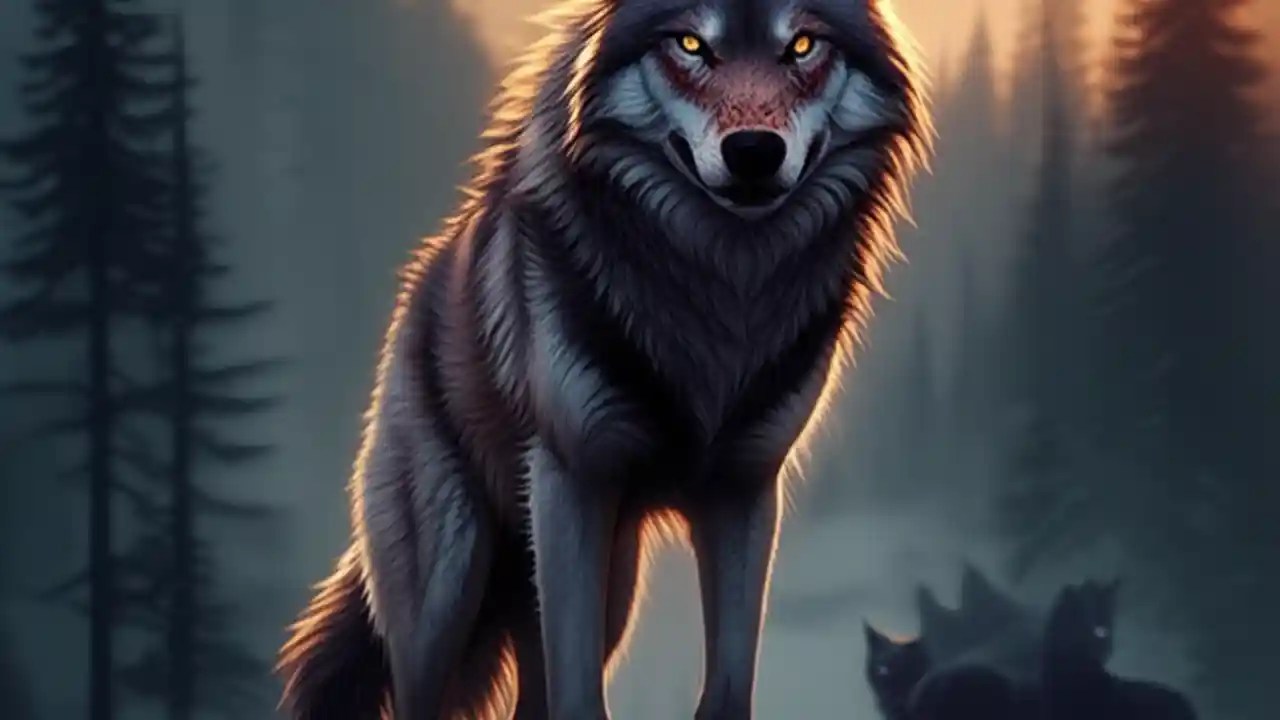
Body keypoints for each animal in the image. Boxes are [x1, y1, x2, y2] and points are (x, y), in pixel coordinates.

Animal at [277, 1, 928, 718]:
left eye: (804, 46)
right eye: (691, 45)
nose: (754, 152)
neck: (720, 296)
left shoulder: (745, 492)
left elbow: (728, 685)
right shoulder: (572, 482)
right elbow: (580, 692)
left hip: (607, 587)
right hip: (447, 591)